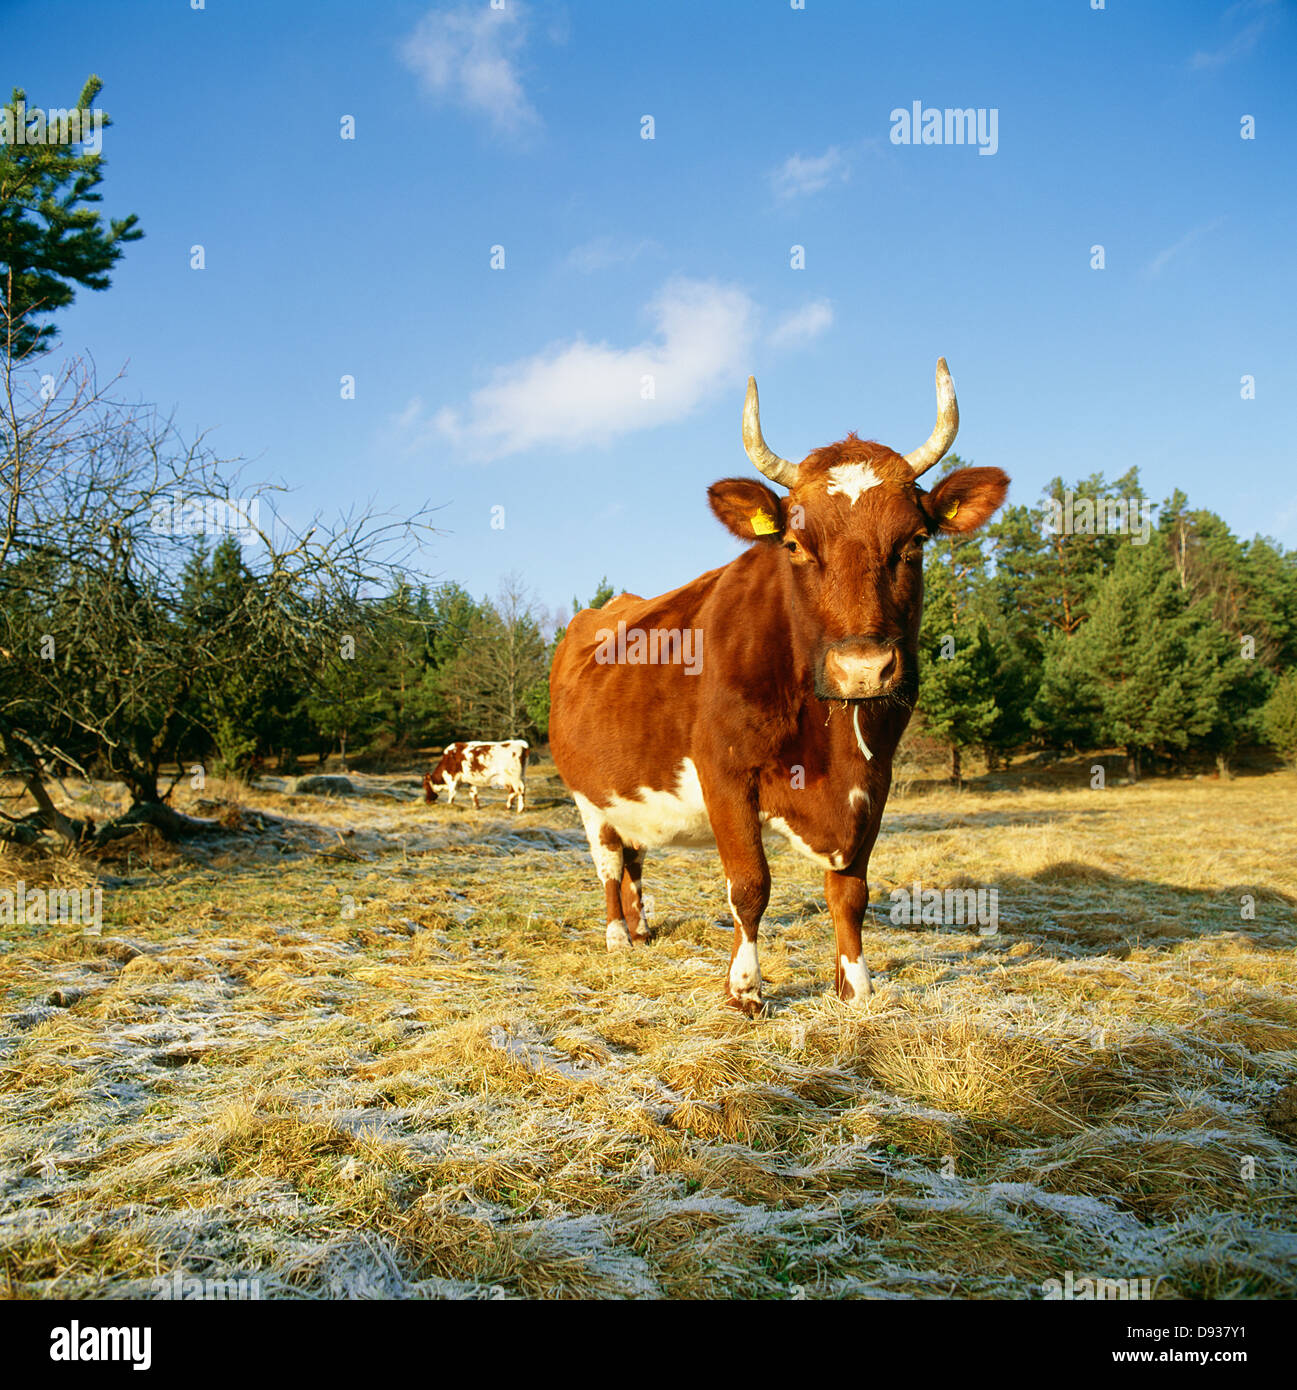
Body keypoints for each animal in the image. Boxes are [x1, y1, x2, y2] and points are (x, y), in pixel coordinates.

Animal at [548, 361, 1009, 1014]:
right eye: (794, 545)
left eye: (915, 542)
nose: (863, 667)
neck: (831, 737)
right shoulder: (724, 773)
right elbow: (750, 884)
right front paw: (745, 988)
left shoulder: (875, 781)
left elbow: (850, 892)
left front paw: (856, 985)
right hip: (588, 796)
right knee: (611, 865)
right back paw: (617, 935)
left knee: (634, 857)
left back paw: (641, 929)